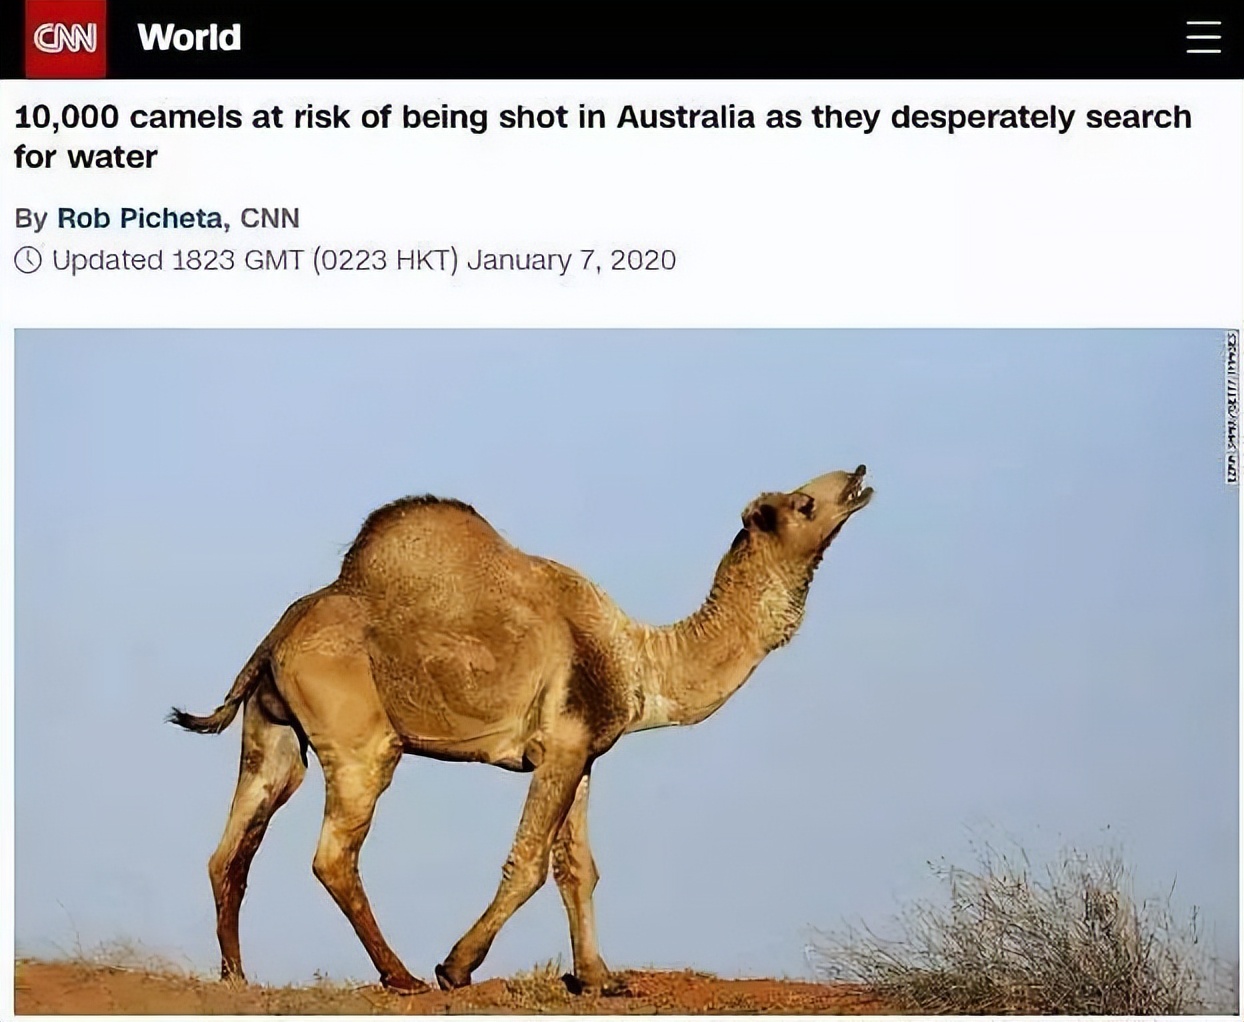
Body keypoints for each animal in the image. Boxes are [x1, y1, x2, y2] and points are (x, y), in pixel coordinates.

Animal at [170, 466, 873, 995]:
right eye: (804, 502)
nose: (859, 475)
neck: (640, 659)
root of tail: (278, 634)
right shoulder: (562, 745)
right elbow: (529, 863)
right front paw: (455, 967)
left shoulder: (581, 752)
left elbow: (578, 868)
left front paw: (599, 979)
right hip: (361, 742)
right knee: (333, 854)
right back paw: (403, 977)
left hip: (272, 732)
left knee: (232, 846)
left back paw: (236, 978)